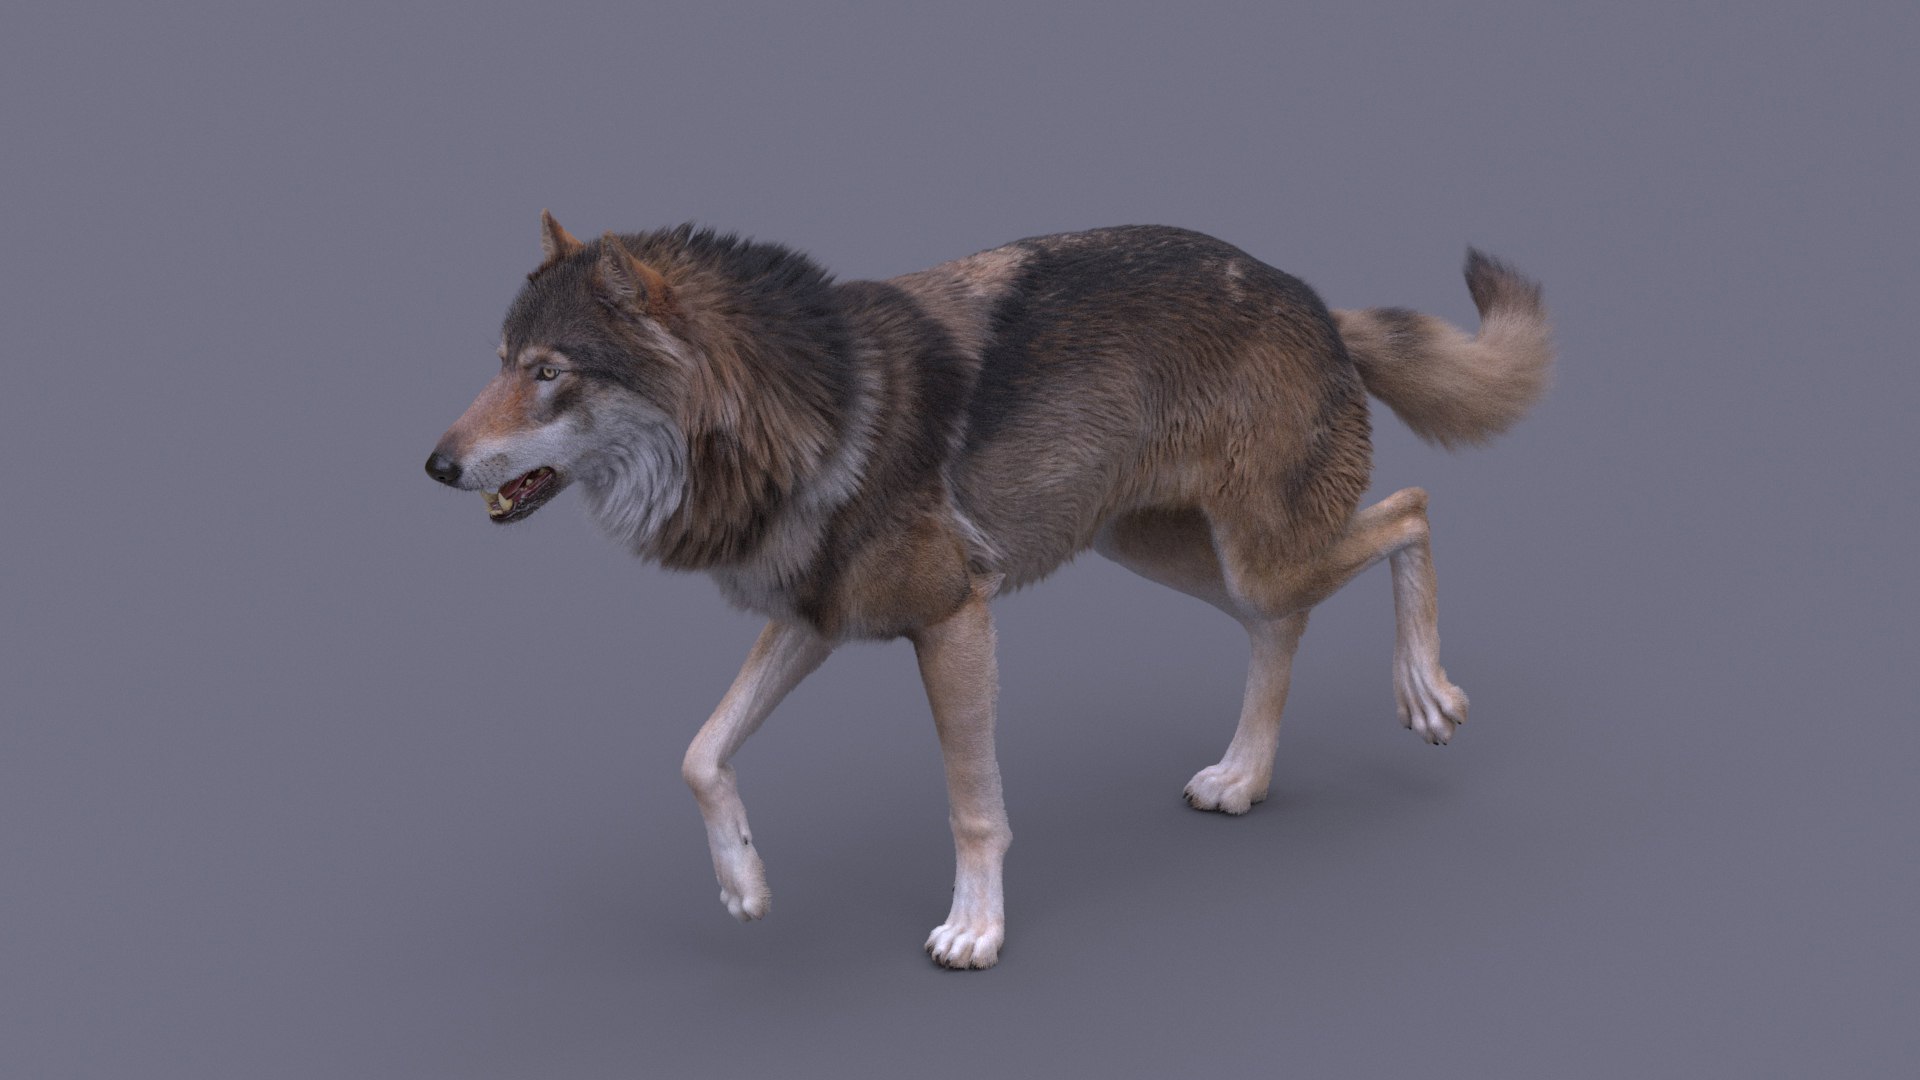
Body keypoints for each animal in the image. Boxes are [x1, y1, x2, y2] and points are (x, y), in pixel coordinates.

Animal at [425, 212, 1553, 969]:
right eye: (499, 362)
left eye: (547, 372)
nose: (434, 465)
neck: (801, 414)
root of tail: (1316, 299)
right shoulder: (815, 622)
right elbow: (701, 753)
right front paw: (744, 883)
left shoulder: (952, 620)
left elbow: (973, 807)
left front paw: (974, 928)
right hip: (1173, 554)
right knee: (1288, 619)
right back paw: (1243, 777)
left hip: (1250, 552)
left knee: (1410, 512)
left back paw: (1426, 697)